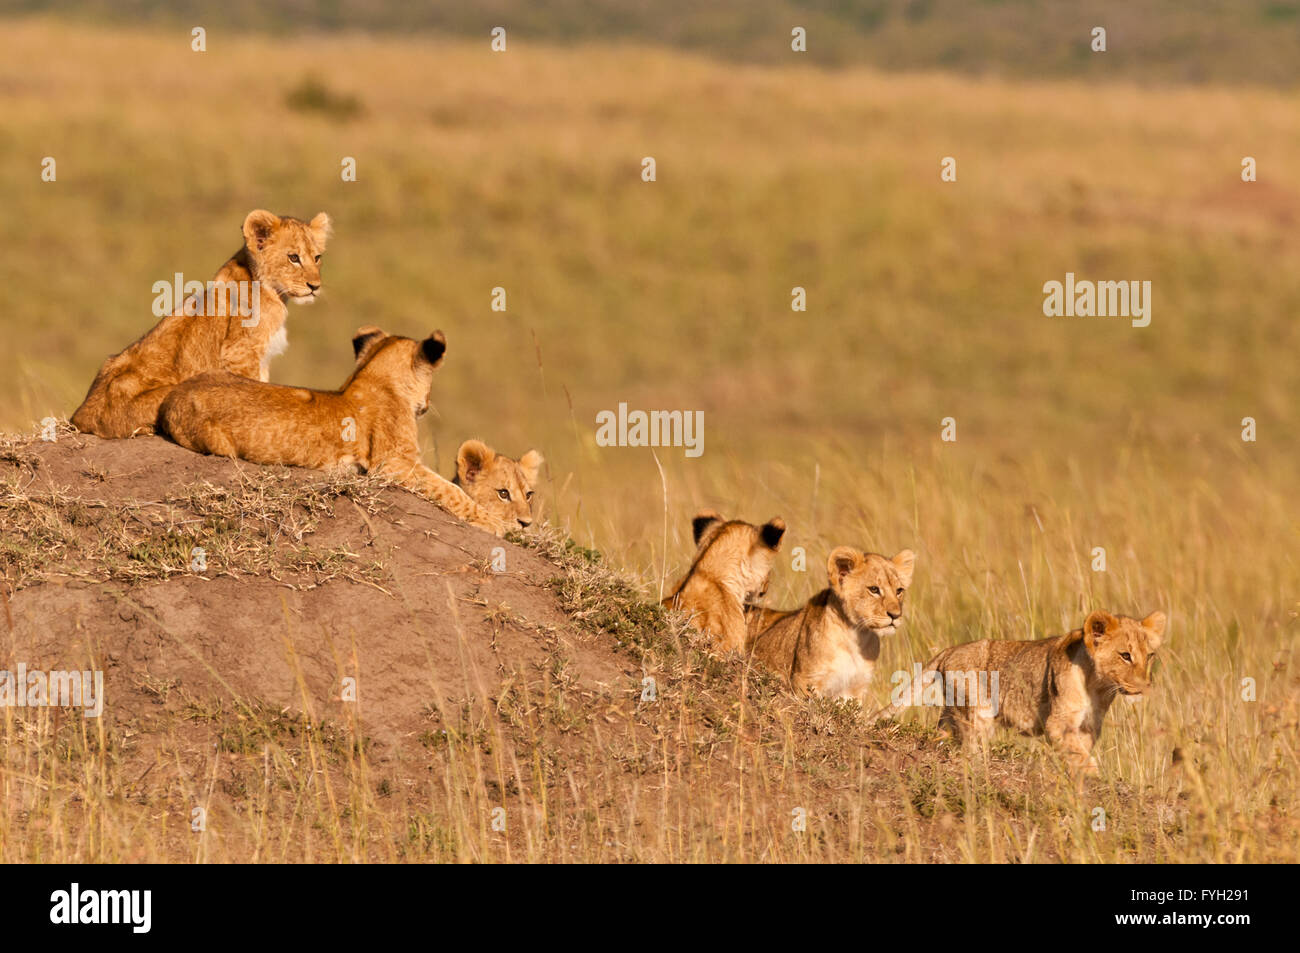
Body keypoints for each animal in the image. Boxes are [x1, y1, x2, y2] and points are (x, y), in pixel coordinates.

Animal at [71, 209, 331, 438]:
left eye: (317, 258)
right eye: (294, 258)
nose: (315, 286)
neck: (270, 289)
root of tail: (80, 417)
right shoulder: (241, 353)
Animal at [156, 325, 513, 534]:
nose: (427, 403)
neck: (374, 377)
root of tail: (172, 399)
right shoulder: (393, 463)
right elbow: (449, 489)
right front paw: (496, 523)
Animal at [748, 547, 915, 703]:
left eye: (899, 590)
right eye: (874, 589)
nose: (896, 615)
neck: (857, 638)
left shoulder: (855, 688)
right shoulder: (806, 681)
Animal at [878, 610, 1166, 775]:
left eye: (1150, 656)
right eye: (1125, 656)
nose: (1144, 686)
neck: (1098, 686)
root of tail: (950, 649)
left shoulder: (1088, 727)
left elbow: (1079, 752)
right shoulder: (1058, 724)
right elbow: (1080, 755)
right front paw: (1094, 774)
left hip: (952, 712)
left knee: (942, 734)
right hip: (977, 715)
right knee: (971, 747)